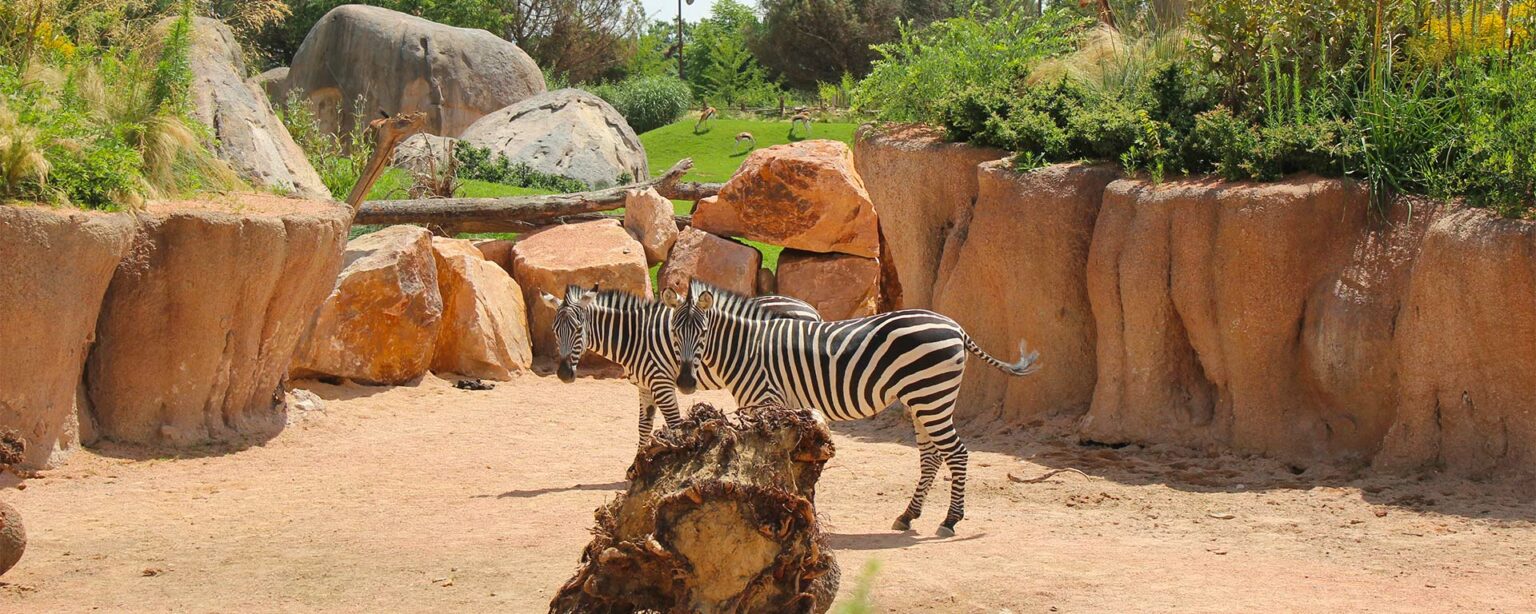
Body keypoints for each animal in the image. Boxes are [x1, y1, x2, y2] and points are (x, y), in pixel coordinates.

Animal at [539, 284, 822, 447]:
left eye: (578, 330)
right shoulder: (644, 385)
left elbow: (675, 425)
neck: (635, 336)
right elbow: (644, 426)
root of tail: (810, 308)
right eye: (554, 330)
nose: (564, 374)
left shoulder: (662, 382)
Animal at [668, 280, 1041, 536]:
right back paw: (908, 515)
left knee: (957, 453)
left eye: (702, 333)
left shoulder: (767, 400)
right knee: (932, 456)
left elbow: (767, 459)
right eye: (673, 333)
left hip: (931, 396)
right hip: (923, 398)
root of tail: (956, 327)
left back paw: (950, 520)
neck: (747, 349)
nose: (685, 383)